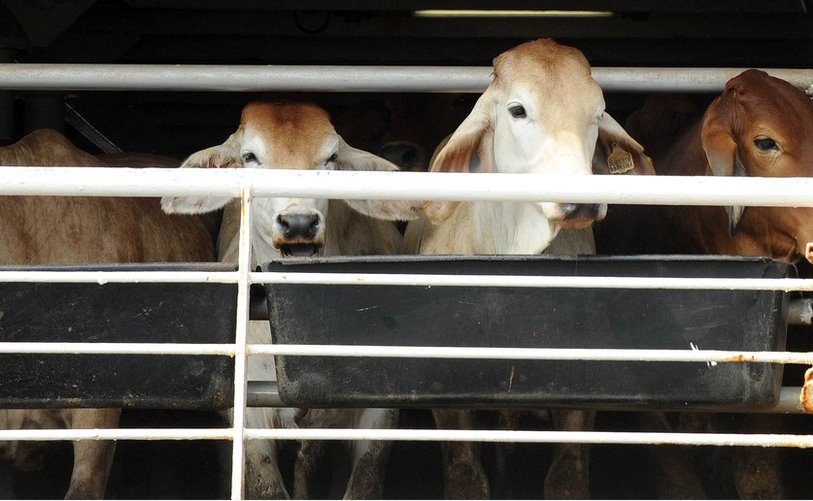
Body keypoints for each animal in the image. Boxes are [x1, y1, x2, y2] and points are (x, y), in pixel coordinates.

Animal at [161, 100, 420, 499]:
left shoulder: (379, 416)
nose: (299, 223)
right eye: (250, 156)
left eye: (331, 157)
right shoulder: (251, 416)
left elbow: (364, 482)